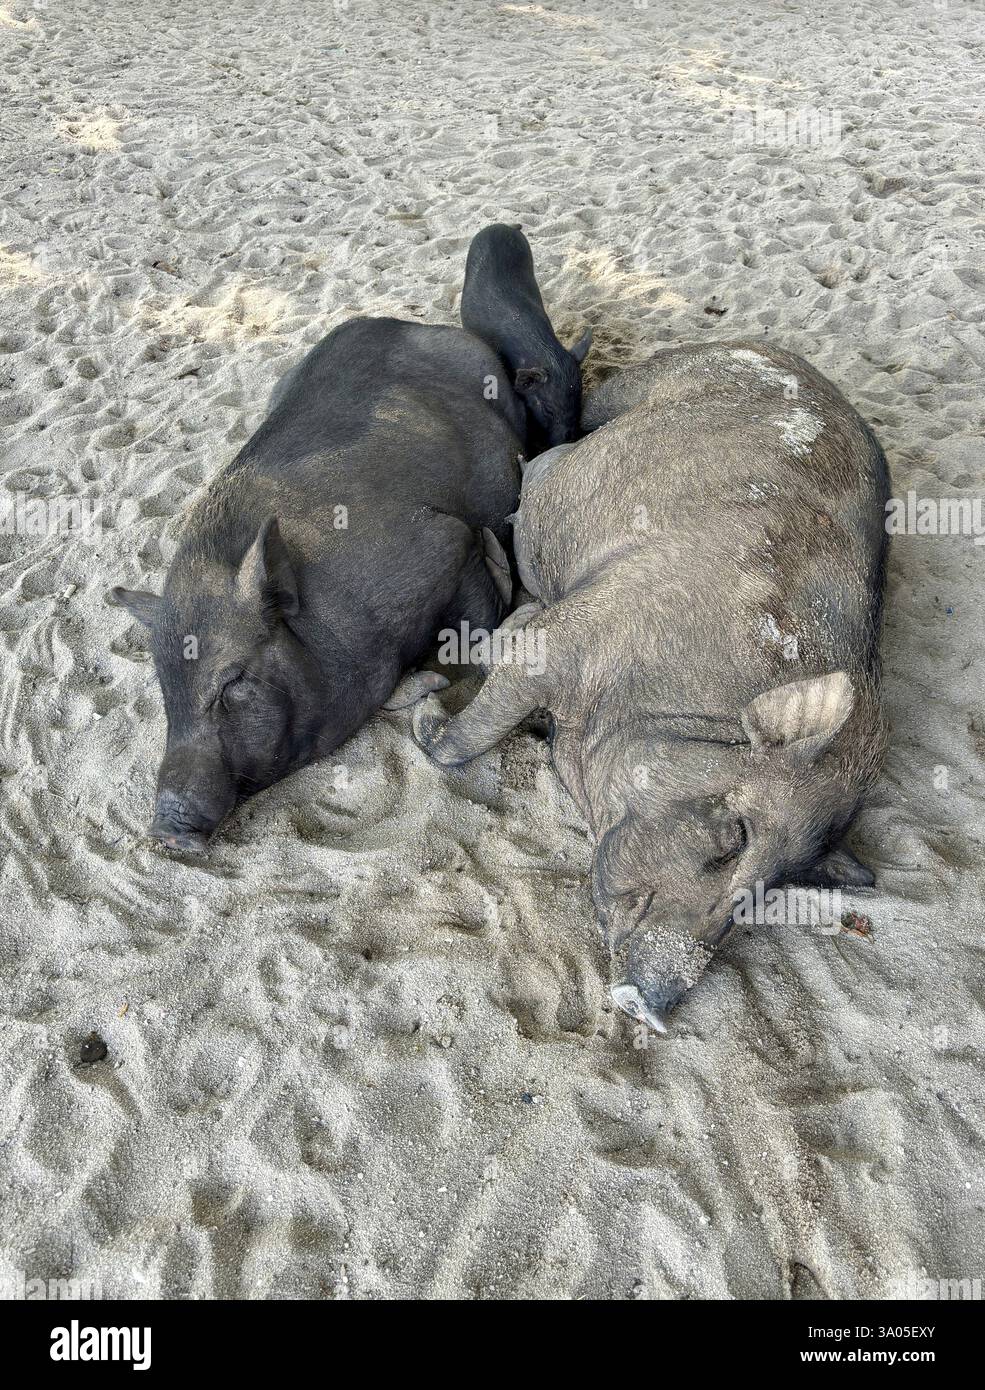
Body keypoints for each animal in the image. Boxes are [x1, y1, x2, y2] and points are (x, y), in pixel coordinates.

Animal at [110, 316, 524, 852]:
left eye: (233, 680)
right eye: (164, 686)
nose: (164, 829)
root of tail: (400, 321)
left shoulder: (446, 543)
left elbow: (477, 634)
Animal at [413, 340, 890, 1030]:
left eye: (775, 891)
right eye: (735, 835)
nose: (655, 1007)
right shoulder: (565, 640)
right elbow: (473, 728)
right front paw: (425, 714)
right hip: (618, 401)